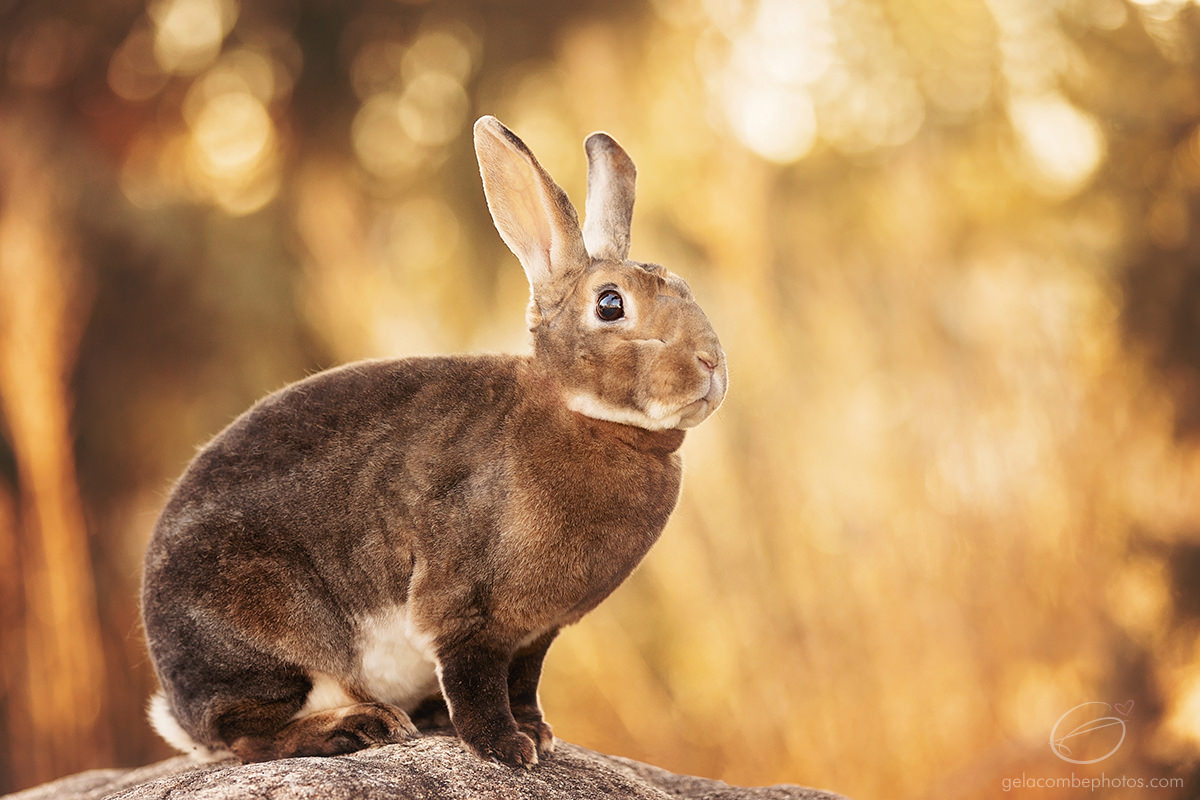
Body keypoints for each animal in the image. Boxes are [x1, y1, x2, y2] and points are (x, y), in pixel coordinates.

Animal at [141, 115, 726, 770]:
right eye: (609, 304)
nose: (710, 362)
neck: (583, 413)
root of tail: (179, 707)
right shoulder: (463, 609)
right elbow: (476, 681)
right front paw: (508, 750)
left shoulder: (536, 635)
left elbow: (523, 683)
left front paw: (538, 735)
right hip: (268, 634)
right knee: (248, 737)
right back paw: (357, 728)